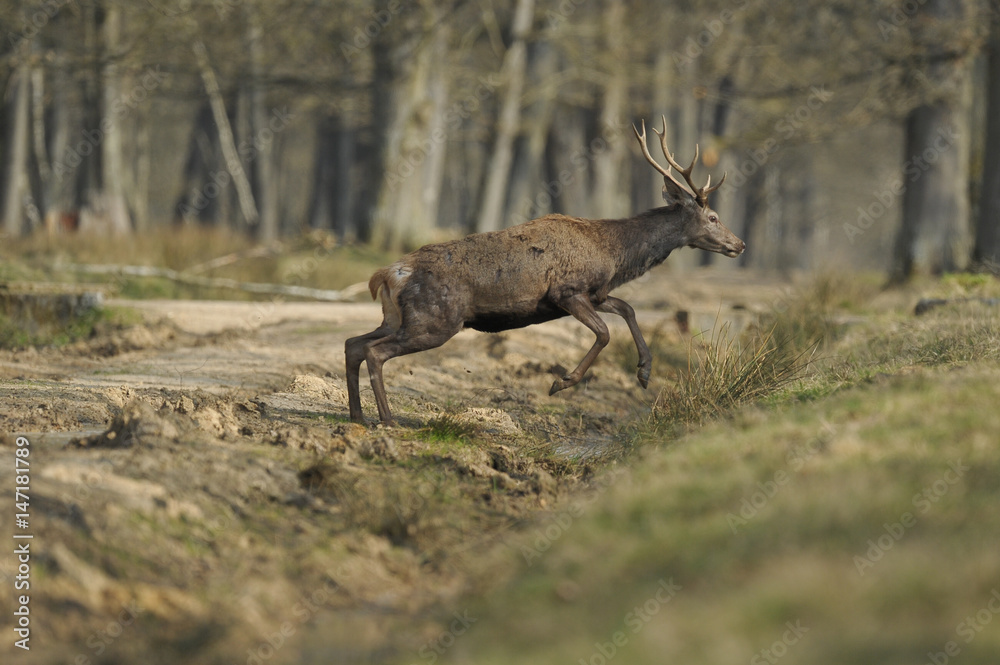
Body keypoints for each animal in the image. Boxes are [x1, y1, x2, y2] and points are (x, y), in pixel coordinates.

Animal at [346, 116, 746, 426]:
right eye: (713, 217)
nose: (740, 244)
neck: (615, 254)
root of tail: (388, 274)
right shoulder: (566, 291)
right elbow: (604, 334)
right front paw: (562, 381)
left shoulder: (595, 292)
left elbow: (628, 309)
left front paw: (644, 372)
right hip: (436, 319)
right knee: (375, 352)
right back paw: (387, 419)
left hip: (397, 317)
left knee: (354, 344)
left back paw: (358, 416)